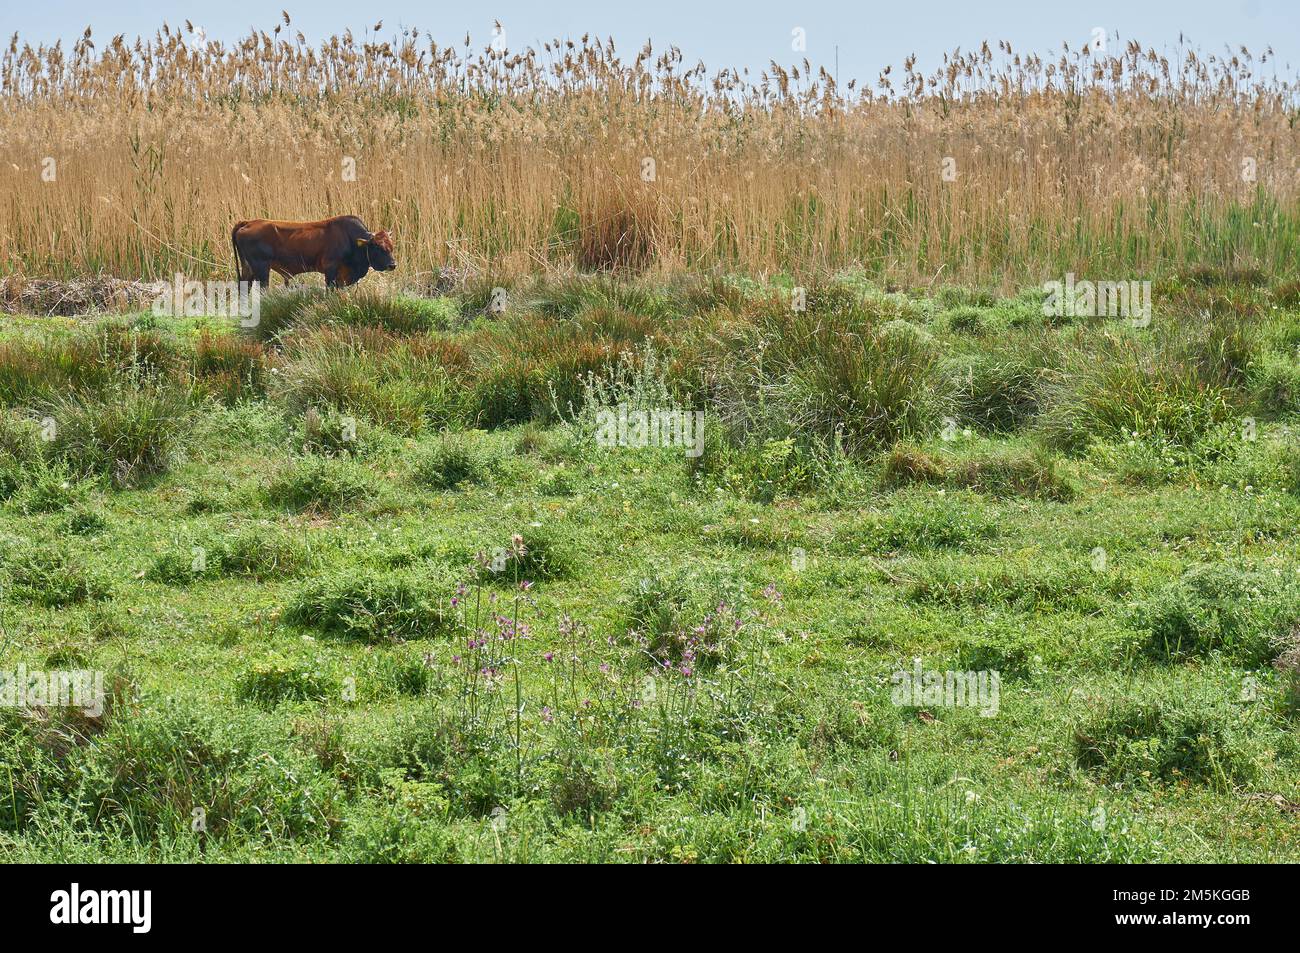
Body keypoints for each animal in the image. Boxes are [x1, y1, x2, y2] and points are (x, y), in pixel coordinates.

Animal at [231, 215, 396, 289]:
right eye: (377, 247)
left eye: (391, 246)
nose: (392, 265)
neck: (350, 239)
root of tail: (248, 222)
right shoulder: (330, 269)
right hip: (261, 269)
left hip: (248, 268)